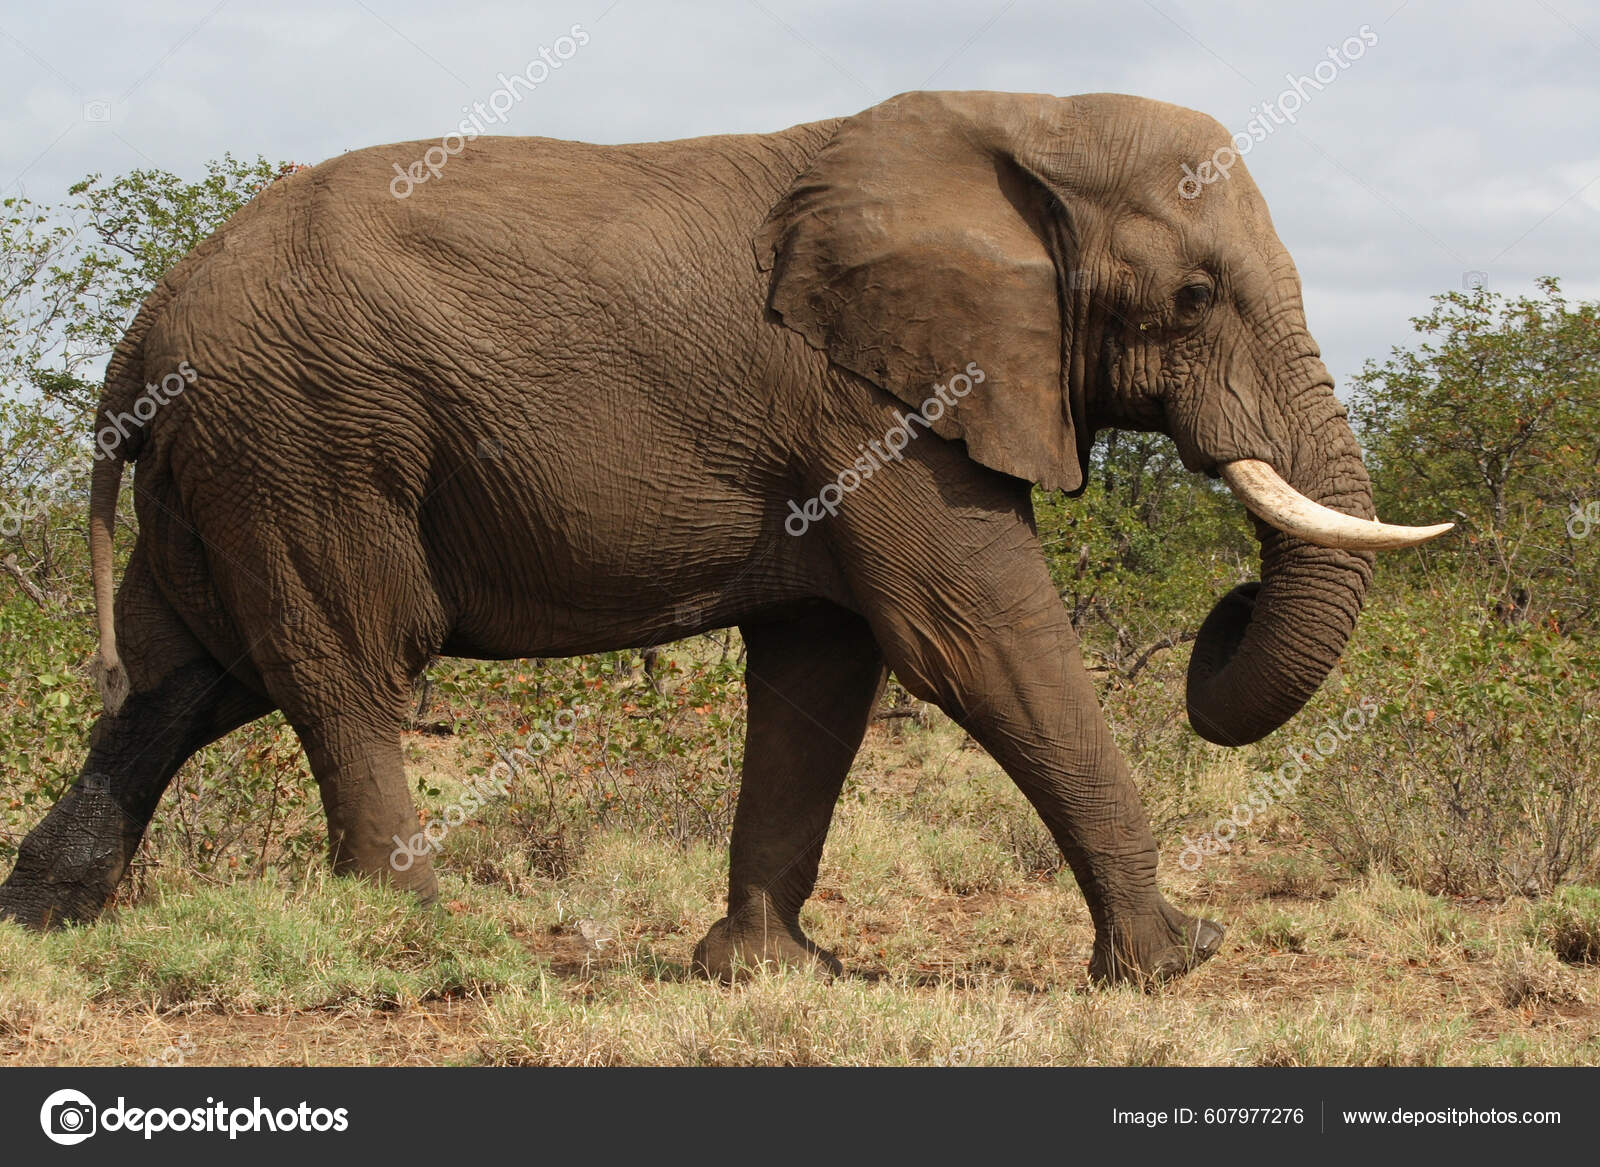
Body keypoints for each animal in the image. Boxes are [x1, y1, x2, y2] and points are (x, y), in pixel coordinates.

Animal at [0, 90, 1449, 984]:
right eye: (1195, 296)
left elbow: (821, 668)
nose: (1226, 609)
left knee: (182, 682)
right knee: (344, 669)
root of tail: (146, 317)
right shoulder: (870, 405)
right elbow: (978, 638)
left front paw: (769, 971)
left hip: (231, 458)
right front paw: (1175, 959)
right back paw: (417, 937)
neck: (1018, 120)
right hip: (307, 440)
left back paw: (47, 921)